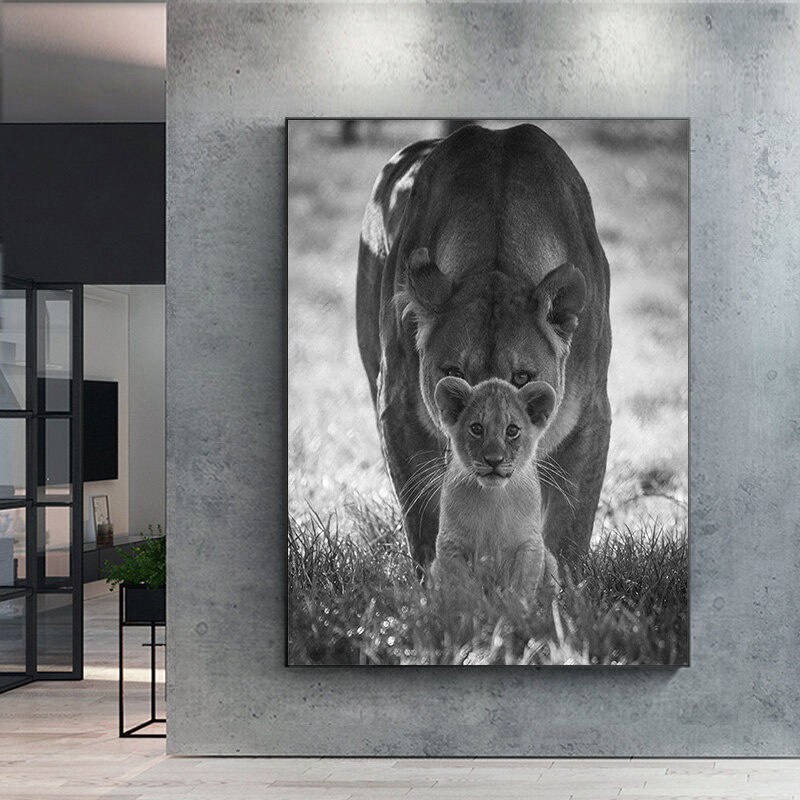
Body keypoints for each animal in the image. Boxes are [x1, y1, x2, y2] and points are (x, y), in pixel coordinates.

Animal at [357, 123, 611, 568]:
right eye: (454, 373)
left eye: (522, 377)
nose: (490, 445)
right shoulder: (398, 409)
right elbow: (425, 521)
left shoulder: (591, 416)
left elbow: (569, 533)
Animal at [431, 376, 559, 597]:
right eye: (476, 428)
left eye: (512, 430)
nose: (494, 460)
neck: (493, 497)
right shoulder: (449, 543)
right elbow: (464, 589)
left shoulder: (530, 544)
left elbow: (520, 589)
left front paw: (514, 606)